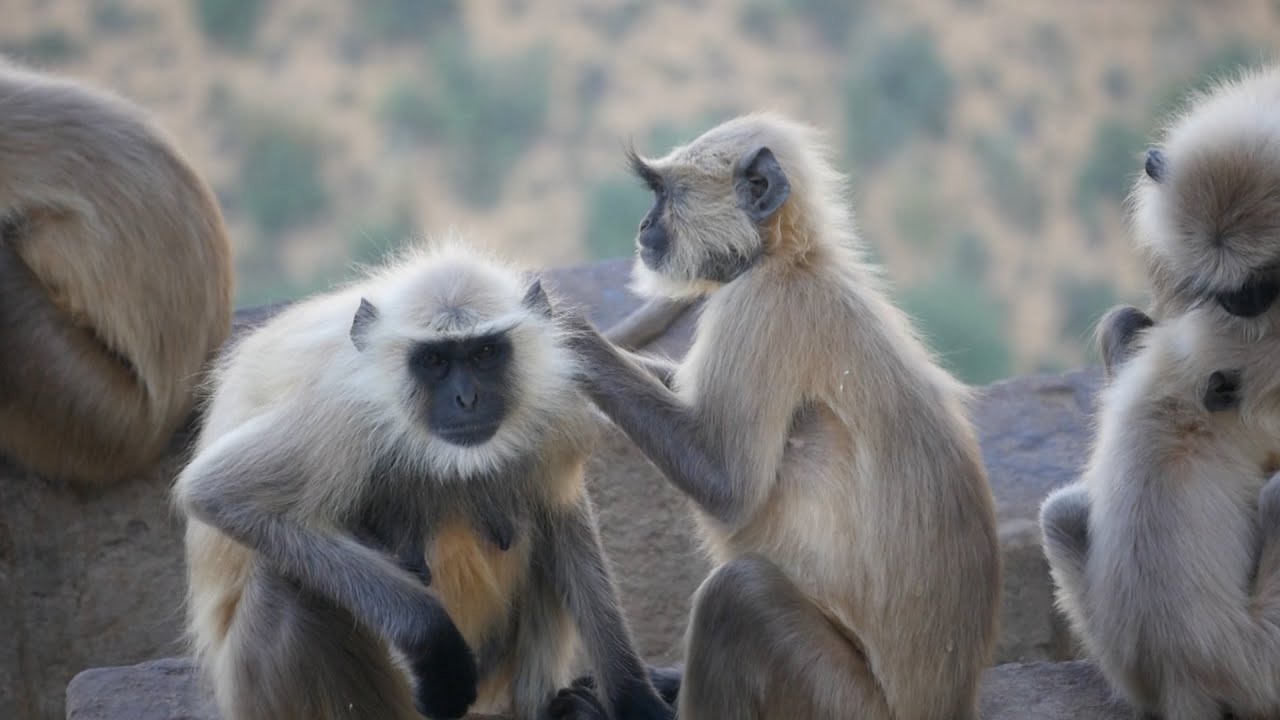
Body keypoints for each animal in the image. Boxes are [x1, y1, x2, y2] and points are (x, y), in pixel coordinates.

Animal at [172, 240, 673, 720]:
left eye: (485, 353)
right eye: (434, 360)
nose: (466, 399)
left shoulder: (557, 388)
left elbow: (561, 515)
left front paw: (635, 698)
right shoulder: (340, 406)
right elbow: (220, 494)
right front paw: (436, 645)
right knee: (285, 578)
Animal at [545, 112, 1003, 720]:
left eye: (663, 194)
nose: (644, 224)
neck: (790, 257)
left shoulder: (760, 307)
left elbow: (729, 487)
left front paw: (565, 334)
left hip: (838, 701)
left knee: (738, 594)